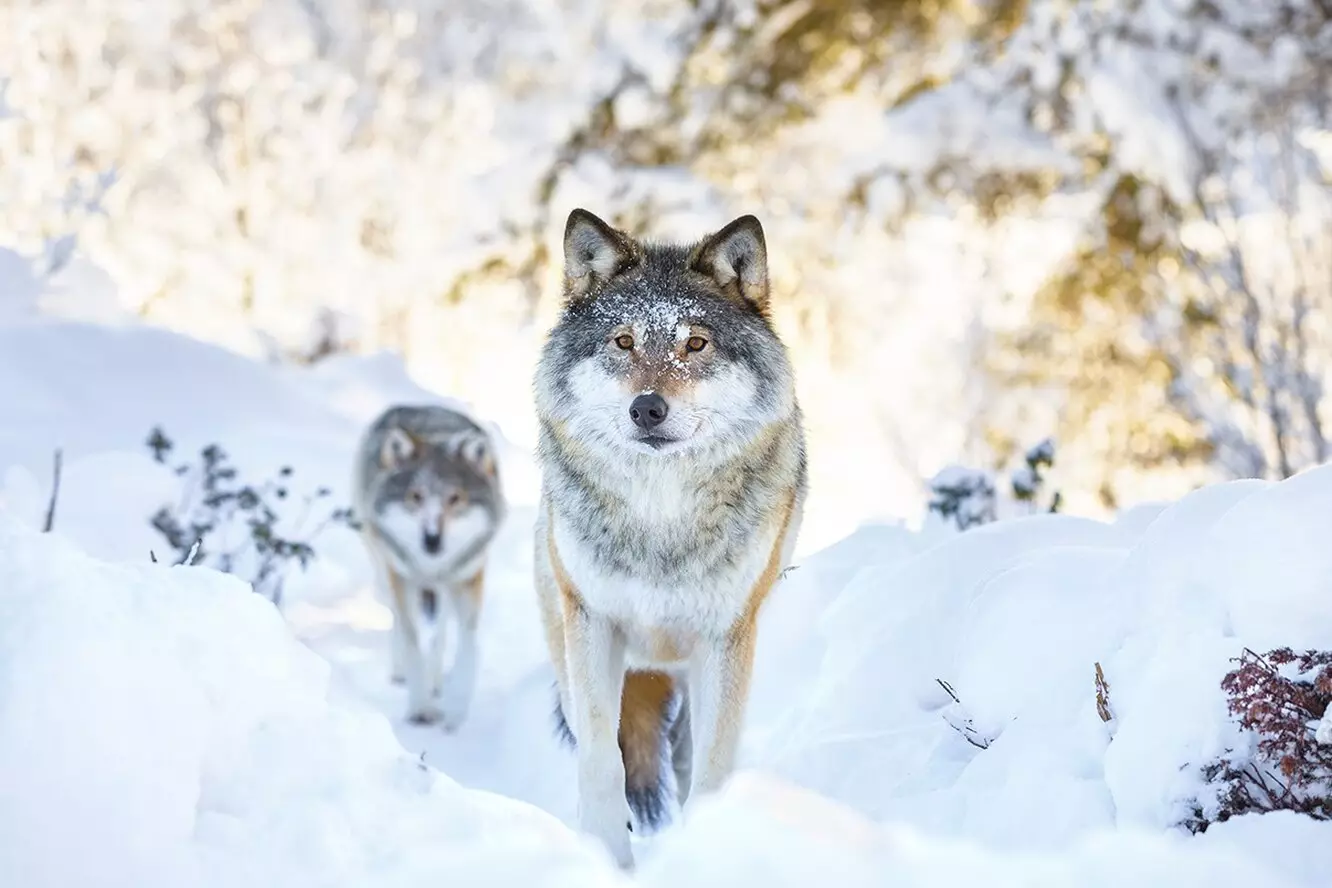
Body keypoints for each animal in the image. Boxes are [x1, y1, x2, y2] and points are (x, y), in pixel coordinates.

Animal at [348, 402, 503, 729]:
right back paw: (401, 671)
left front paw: (455, 706)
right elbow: (411, 643)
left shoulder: (468, 577)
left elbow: (468, 646)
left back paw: (436, 681)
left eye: (455, 498)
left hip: (444, 587)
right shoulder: (402, 577)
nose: (431, 540)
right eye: (415, 497)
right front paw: (420, 707)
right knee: (397, 618)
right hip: (385, 570)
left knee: (441, 629)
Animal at [532, 209, 804, 868]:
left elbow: (709, 771)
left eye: (695, 344)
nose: (647, 409)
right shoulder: (593, 625)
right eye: (624, 342)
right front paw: (606, 859)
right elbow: (602, 764)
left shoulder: (727, 638)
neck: (661, 517)